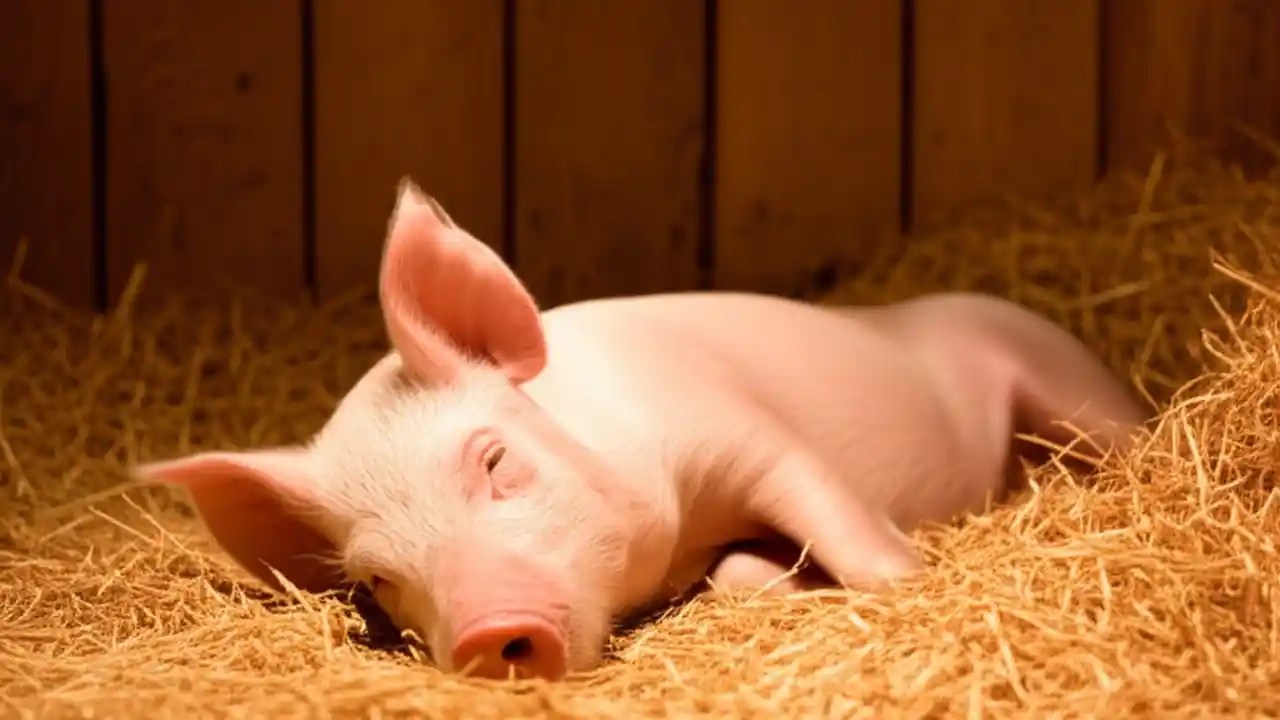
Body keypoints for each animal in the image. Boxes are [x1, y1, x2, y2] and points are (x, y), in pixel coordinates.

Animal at [133, 179, 1146, 682]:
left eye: (495, 462)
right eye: (377, 578)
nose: (488, 632)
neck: (678, 542)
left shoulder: (748, 432)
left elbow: (855, 540)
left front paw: (910, 577)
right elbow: (743, 578)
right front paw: (761, 576)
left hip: (1065, 381)